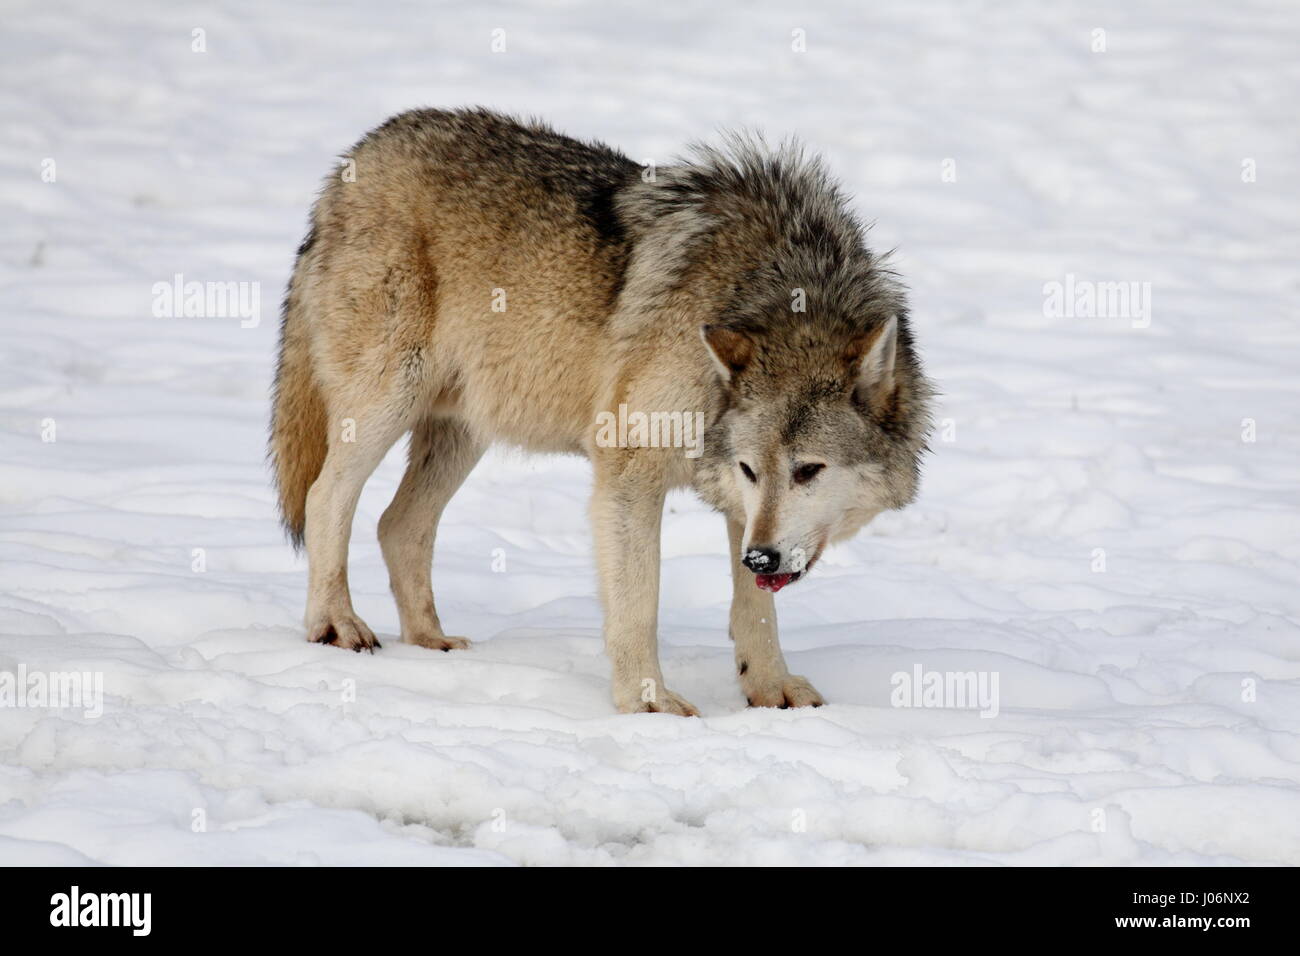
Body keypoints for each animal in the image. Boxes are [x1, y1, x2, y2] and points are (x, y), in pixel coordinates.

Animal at [271, 108, 932, 715]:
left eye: (808, 470)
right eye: (753, 470)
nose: (761, 556)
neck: (774, 288)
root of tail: (352, 161)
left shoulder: (738, 509)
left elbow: (756, 609)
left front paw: (771, 690)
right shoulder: (629, 469)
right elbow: (639, 602)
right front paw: (647, 704)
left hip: (464, 431)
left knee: (398, 524)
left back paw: (431, 643)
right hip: (389, 401)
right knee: (326, 498)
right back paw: (337, 625)